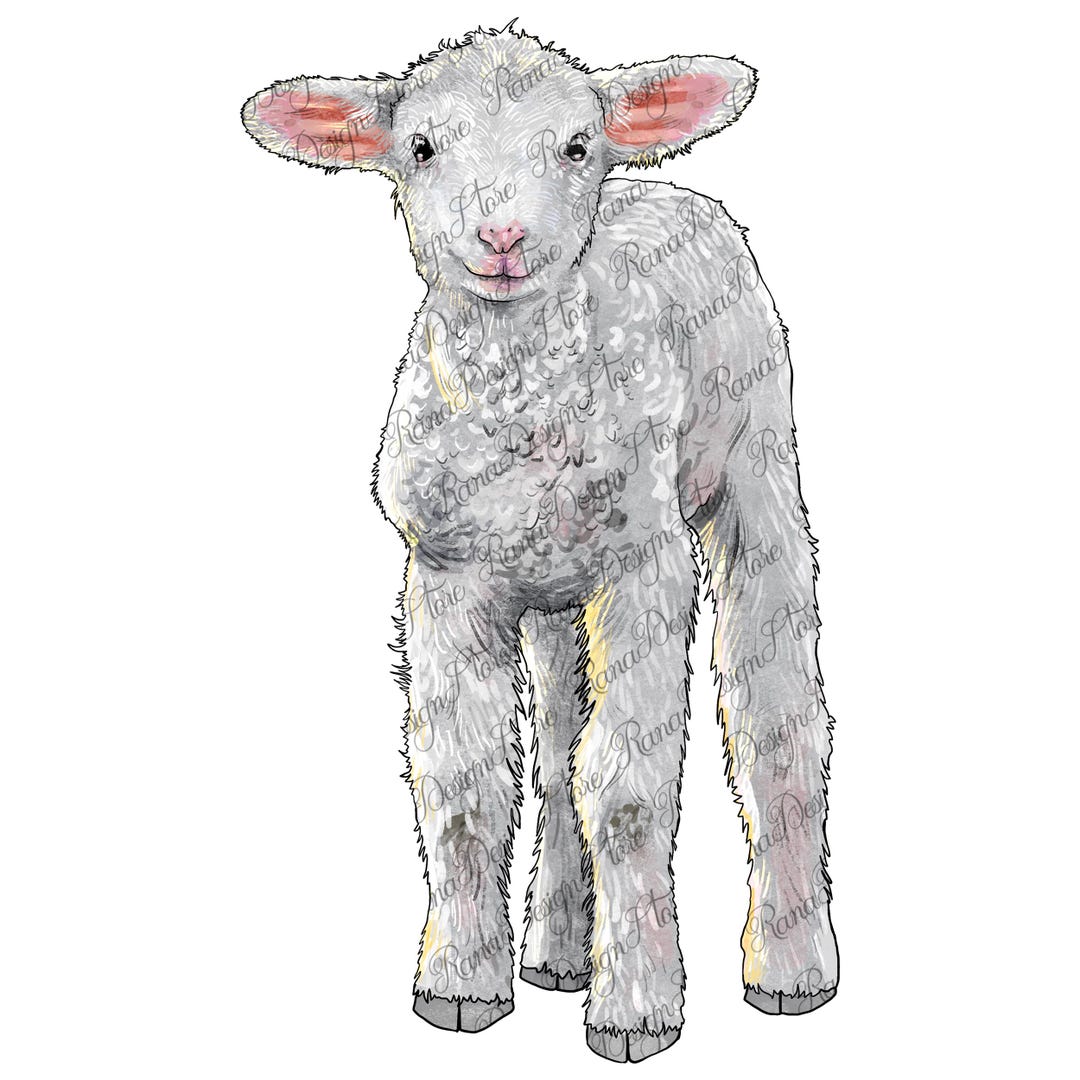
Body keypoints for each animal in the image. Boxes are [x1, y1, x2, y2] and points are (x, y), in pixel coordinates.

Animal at [241, 22, 838, 1063]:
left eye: (573, 145)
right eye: (420, 147)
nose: (503, 237)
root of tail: (663, 187)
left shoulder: (645, 564)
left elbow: (629, 786)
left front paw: (637, 1009)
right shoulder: (446, 574)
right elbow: (464, 782)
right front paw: (458, 987)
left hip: (757, 462)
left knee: (774, 716)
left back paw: (791, 966)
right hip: (555, 588)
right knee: (560, 741)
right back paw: (557, 953)